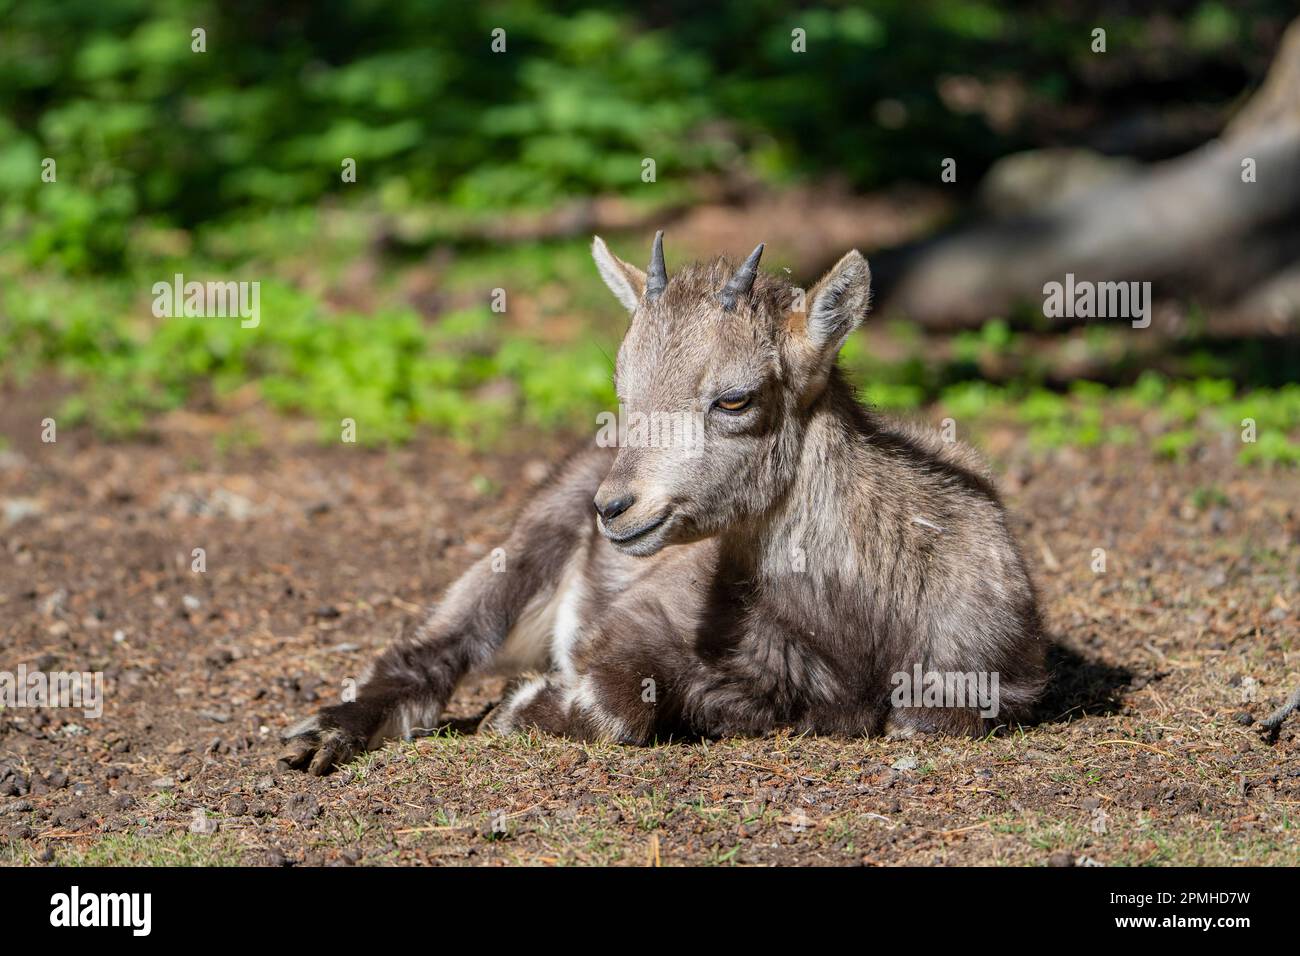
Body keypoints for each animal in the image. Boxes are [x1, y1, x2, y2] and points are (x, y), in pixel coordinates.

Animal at [280, 233, 1047, 774]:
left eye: (734, 398)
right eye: (625, 393)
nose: (614, 509)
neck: (846, 621)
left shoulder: (981, 675)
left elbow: (927, 722)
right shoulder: (635, 620)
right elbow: (615, 708)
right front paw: (518, 706)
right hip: (526, 545)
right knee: (432, 648)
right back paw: (322, 736)